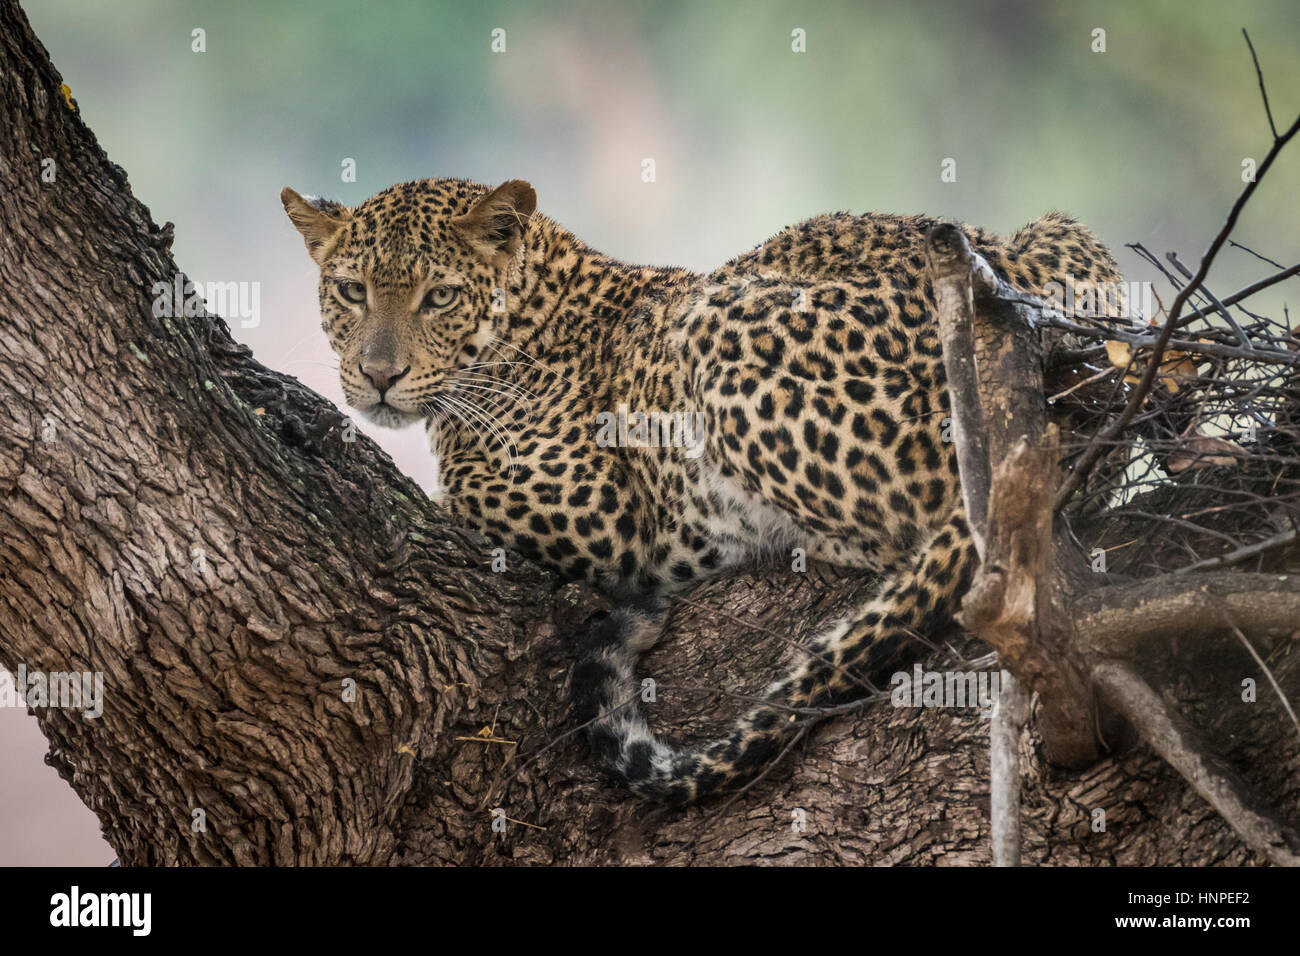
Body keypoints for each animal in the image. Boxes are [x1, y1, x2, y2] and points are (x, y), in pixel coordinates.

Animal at [282, 177, 1121, 805]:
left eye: (441, 297)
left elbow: (458, 486)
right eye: (351, 291)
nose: (377, 375)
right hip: (1068, 231)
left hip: (715, 335)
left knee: (904, 530)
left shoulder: (602, 508)